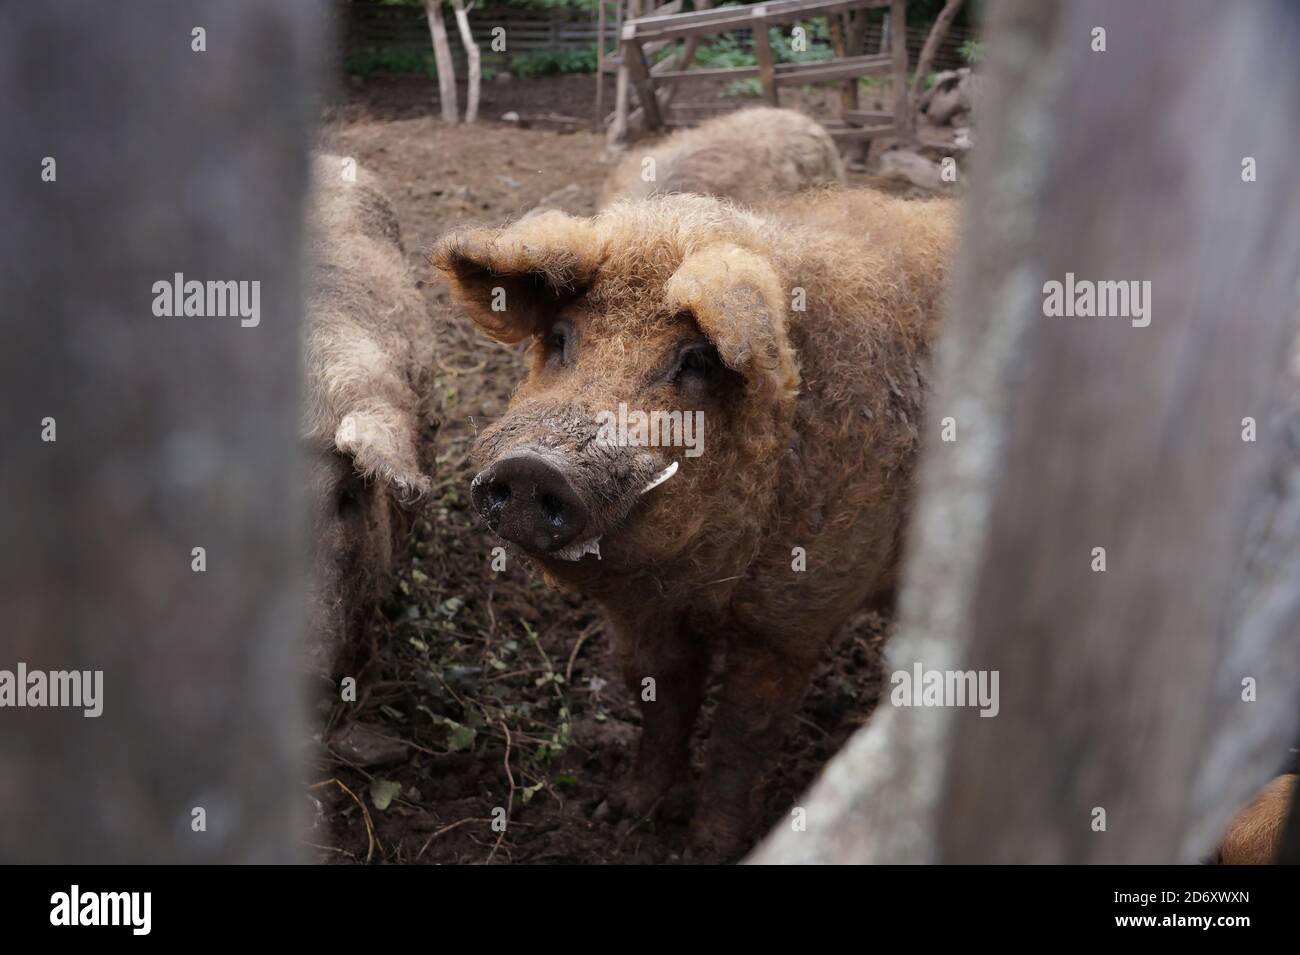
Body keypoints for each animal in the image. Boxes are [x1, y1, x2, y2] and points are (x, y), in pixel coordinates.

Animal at [433, 188, 955, 855]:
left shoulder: (793, 617)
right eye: (560, 337)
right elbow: (661, 696)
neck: (700, 577)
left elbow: (743, 731)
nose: (532, 468)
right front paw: (623, 812)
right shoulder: (642, 613)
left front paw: (710, 846)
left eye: (697, 360)